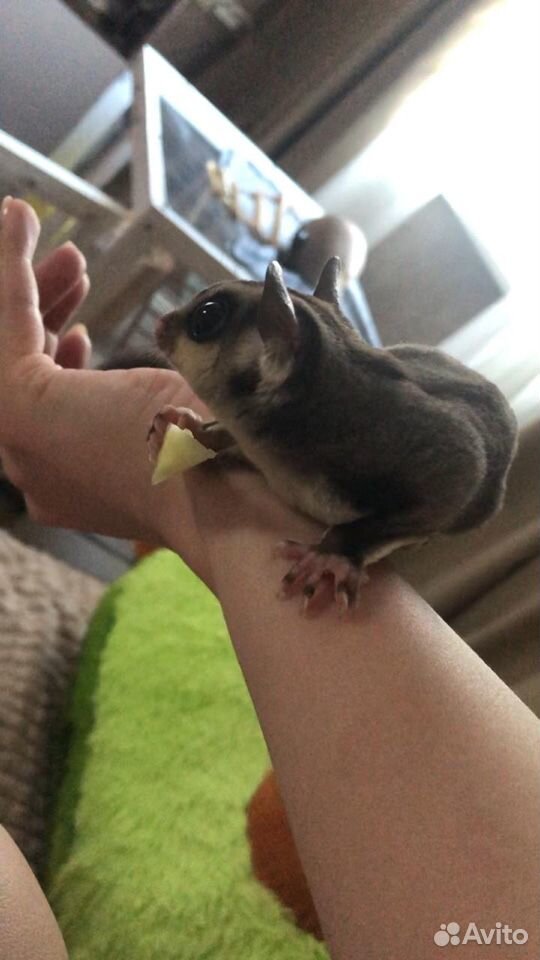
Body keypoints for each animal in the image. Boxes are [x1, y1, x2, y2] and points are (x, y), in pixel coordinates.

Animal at [149, 257, 518, 613]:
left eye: (207, 316)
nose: (160, 323)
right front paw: (191, 429)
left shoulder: (413, 448)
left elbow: (460, 476)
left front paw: (333, 554)